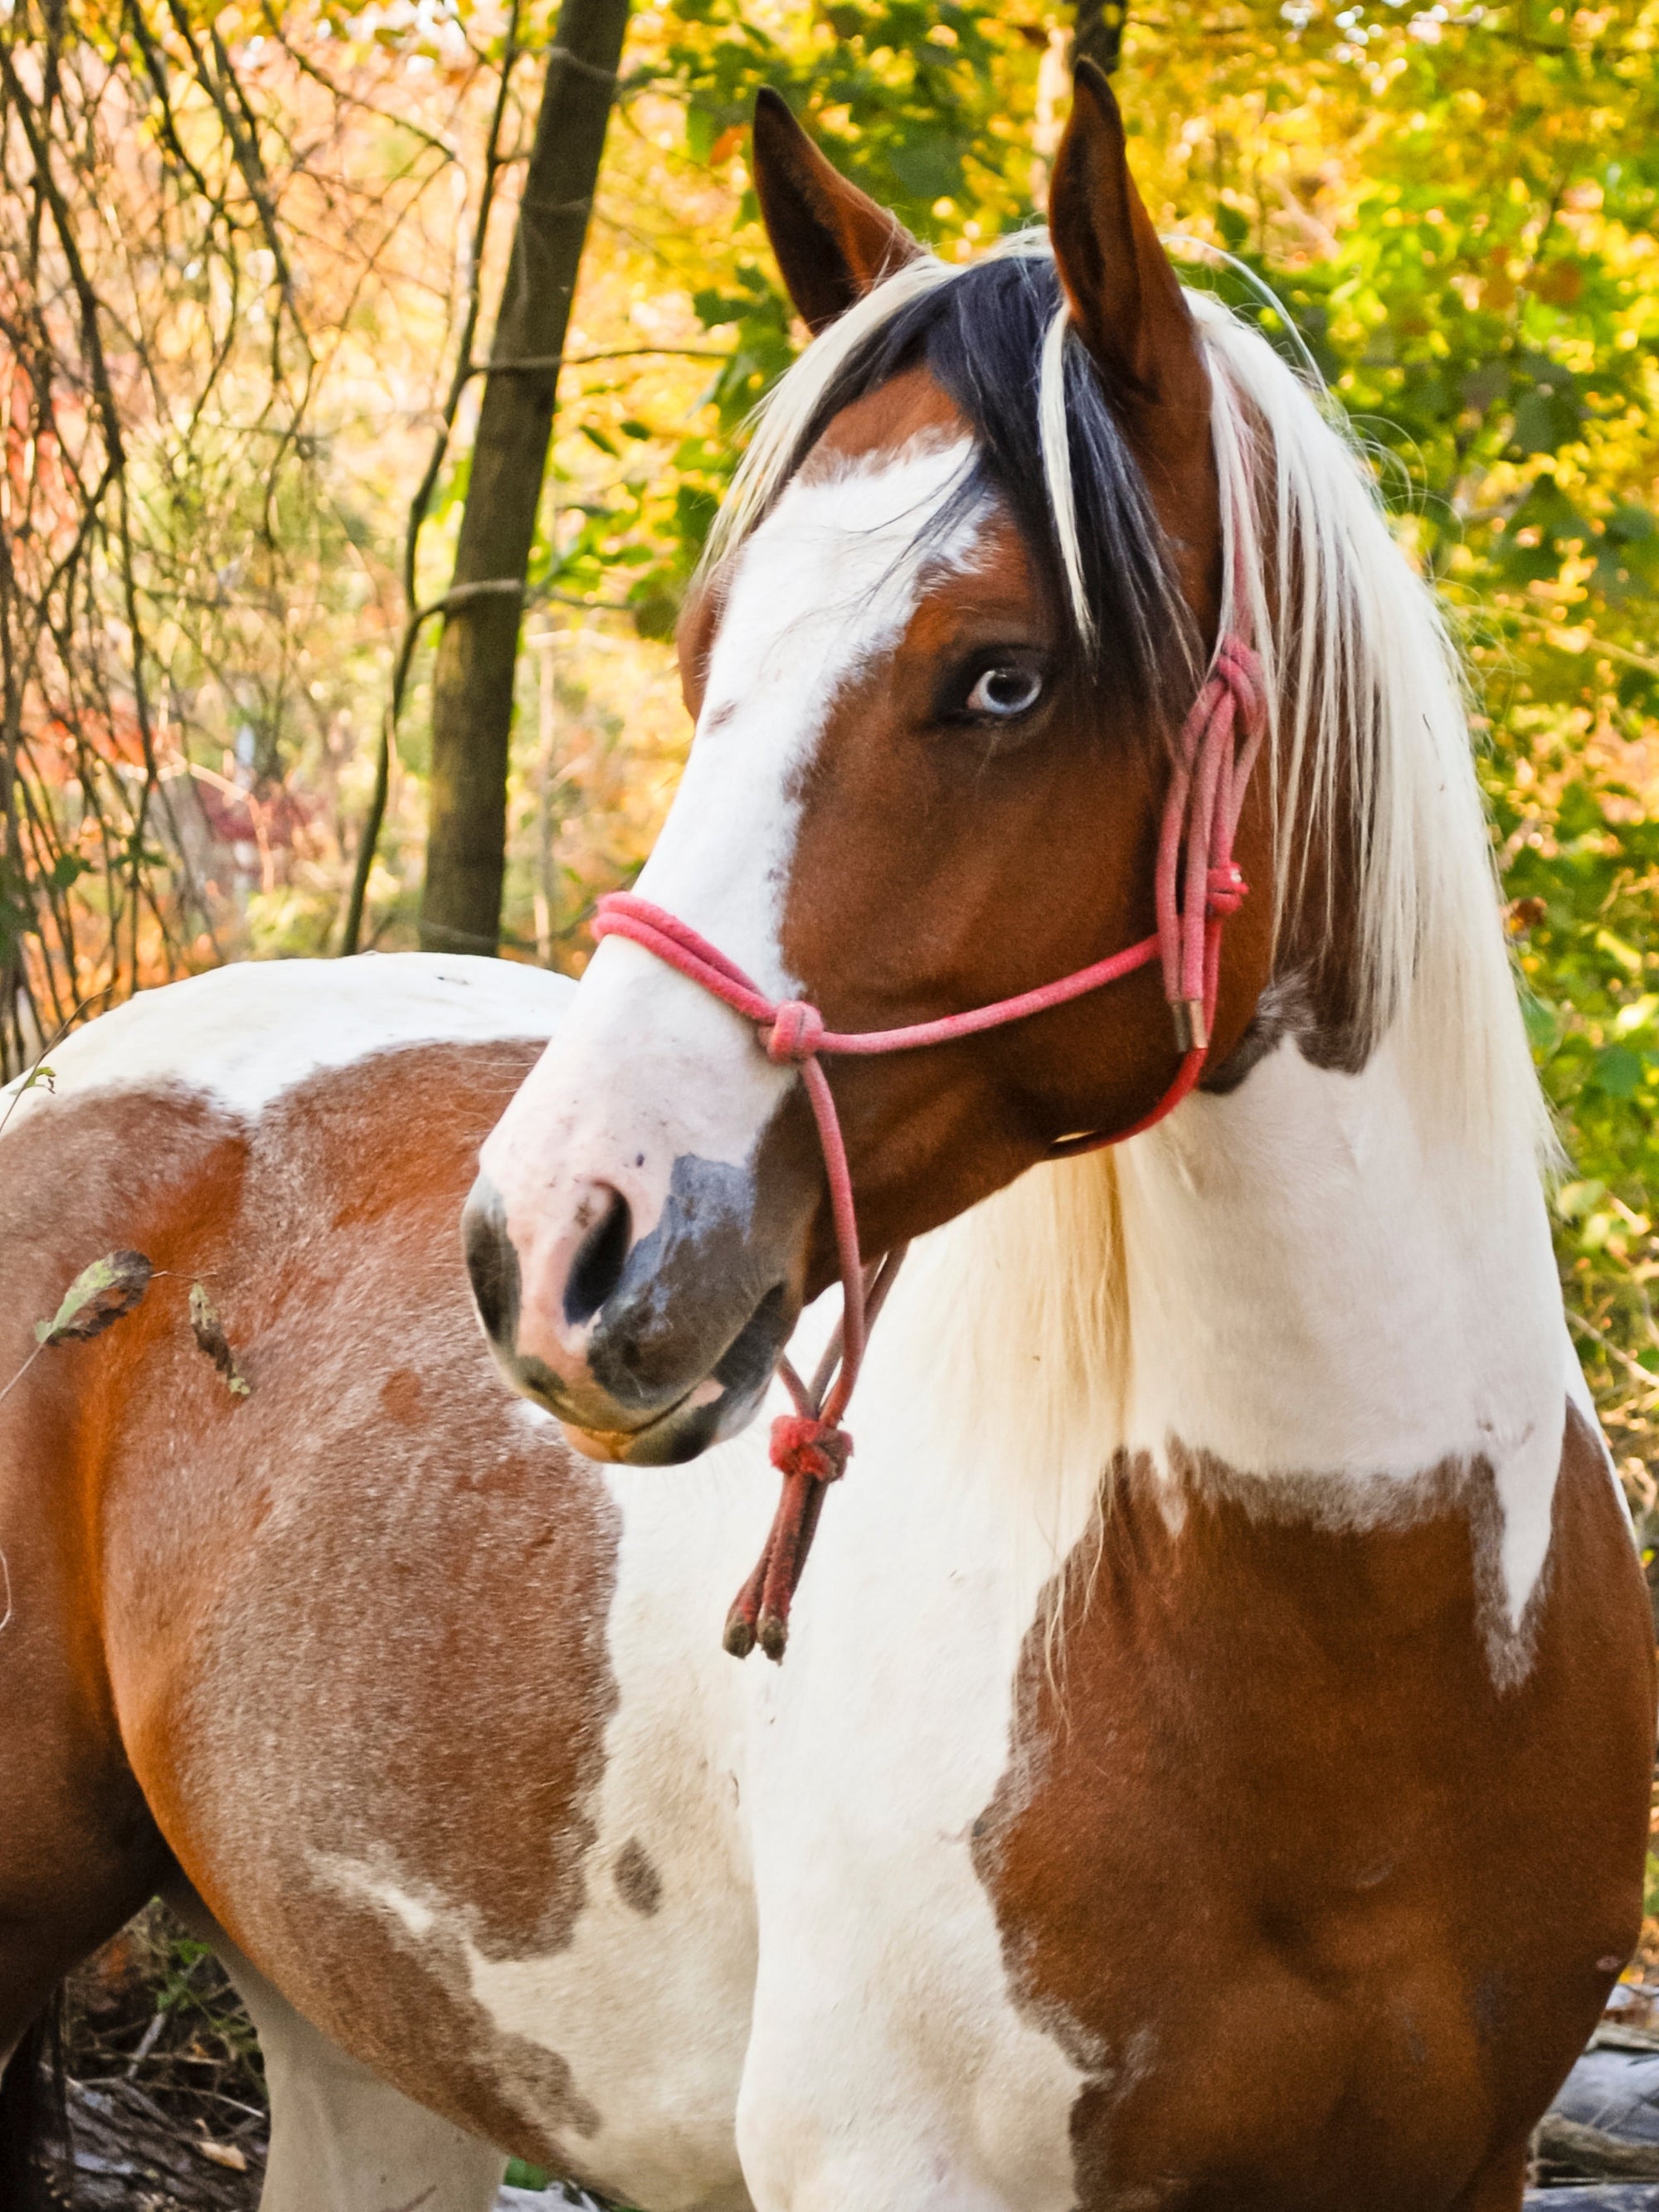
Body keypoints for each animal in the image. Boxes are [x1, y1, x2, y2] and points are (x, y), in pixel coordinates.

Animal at [1, 68, 1653, 2212]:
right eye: (710, 653)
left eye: (1002, 674)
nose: (550, 1245)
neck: (1347, 1649)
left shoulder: (1467, 2164)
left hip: (368, 2046)